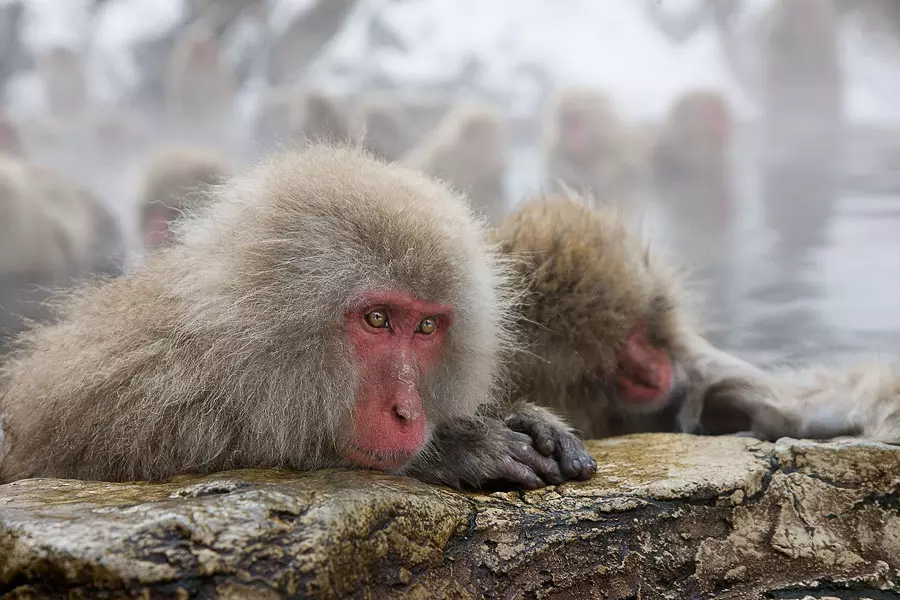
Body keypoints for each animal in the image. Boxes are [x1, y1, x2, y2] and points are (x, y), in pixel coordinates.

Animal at [1, 146, 604, 492]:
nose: (409, 413)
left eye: (426, 327)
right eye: (378, 319)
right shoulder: (146, 397)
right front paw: (455, 448)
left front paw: (522, 417)